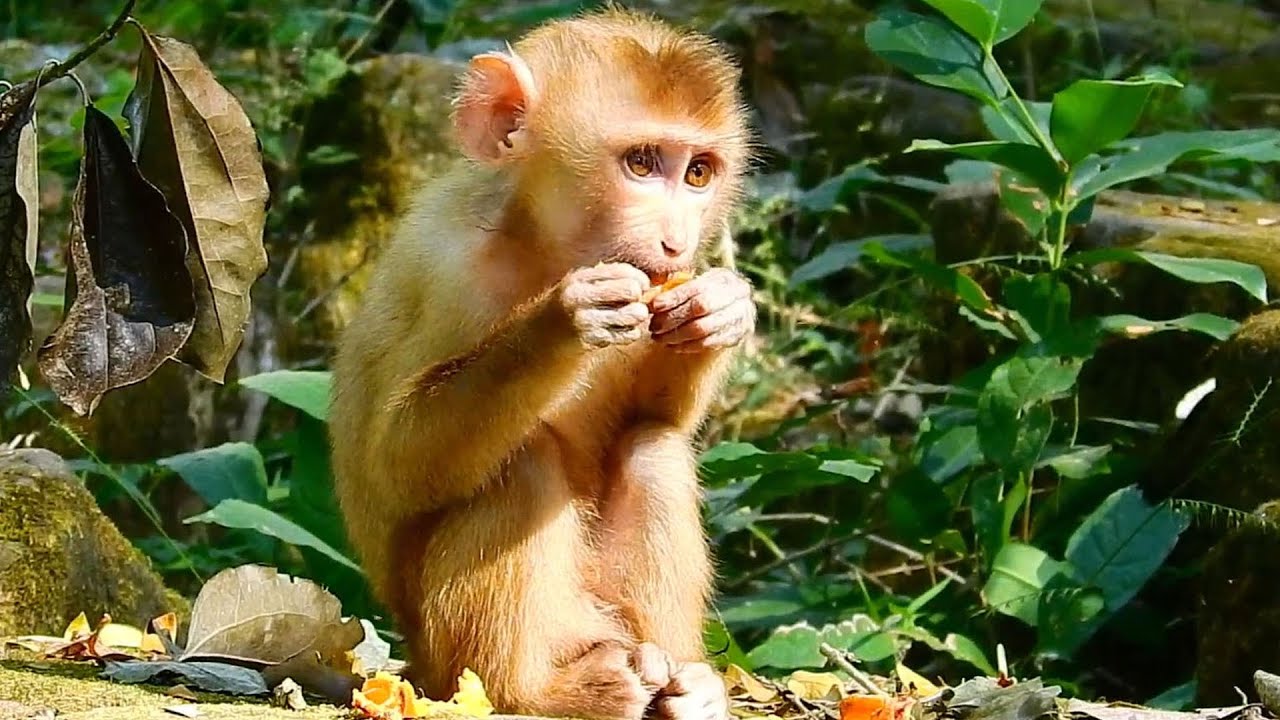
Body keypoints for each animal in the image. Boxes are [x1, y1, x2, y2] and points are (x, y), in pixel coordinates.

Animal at [328, 7, 756, 720]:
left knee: (653, 448)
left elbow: (658, 413)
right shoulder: (449, 269)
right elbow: (398, 463)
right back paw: (535, 691)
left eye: (698, 173)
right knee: (520, 465)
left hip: (606, 612)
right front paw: (562, 320)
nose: (678, 242)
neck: (544, 248)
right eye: (641, 163)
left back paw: (684, 685)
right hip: (456, 655)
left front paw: (722, 308)